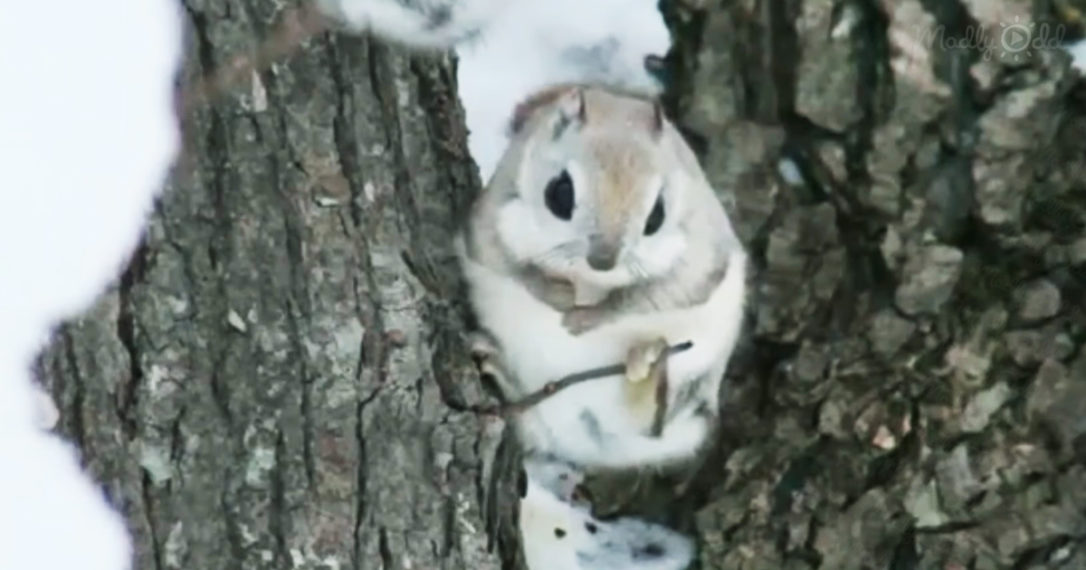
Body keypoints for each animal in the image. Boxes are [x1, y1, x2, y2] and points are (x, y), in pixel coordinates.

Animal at [457, 84, 748, 471]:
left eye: (657, 215)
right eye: (560, 193)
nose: (603, 260)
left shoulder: (700, 258)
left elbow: (653, 295)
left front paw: (587, 317)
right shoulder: (490, 223)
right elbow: (515, 269)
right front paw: (558, 295)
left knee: (654, 421)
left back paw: (650, 361)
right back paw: (496, 365)